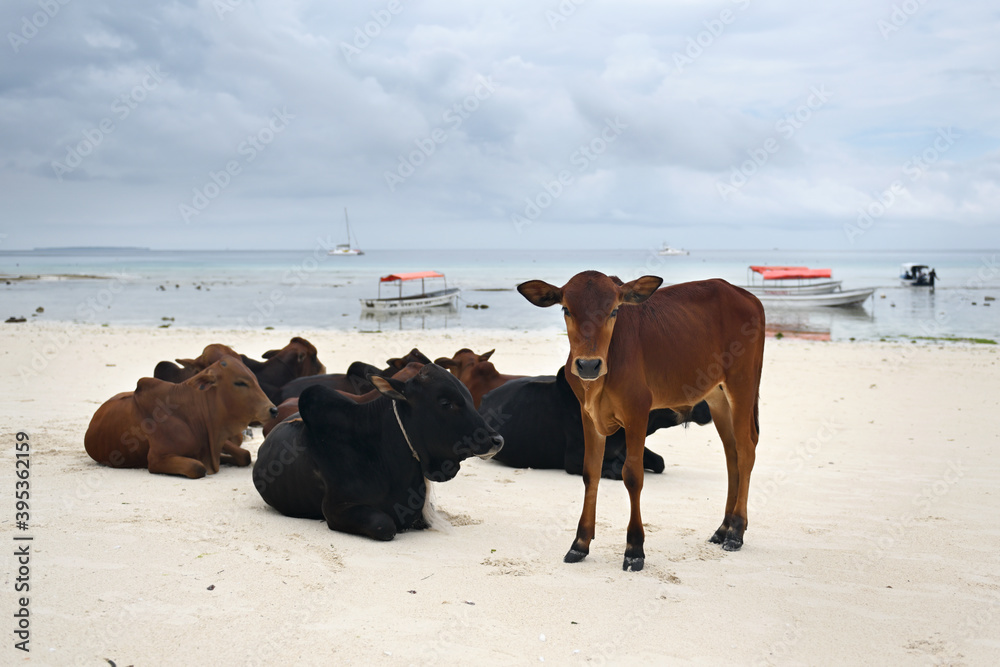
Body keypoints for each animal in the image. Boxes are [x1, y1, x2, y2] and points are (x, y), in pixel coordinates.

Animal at [518, 272, 764, 570]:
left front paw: (634, 548)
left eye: (614, 311)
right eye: (566, 309)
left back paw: (736, 531)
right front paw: (580, 543)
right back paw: (723, 528)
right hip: (717, 397)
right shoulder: (588, 416)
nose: (588, 365)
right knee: (731, 455)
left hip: (742, 385)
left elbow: (633, 476)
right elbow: (591, 474)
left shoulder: (637, 412)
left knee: (746, 450)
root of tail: (746, 296)